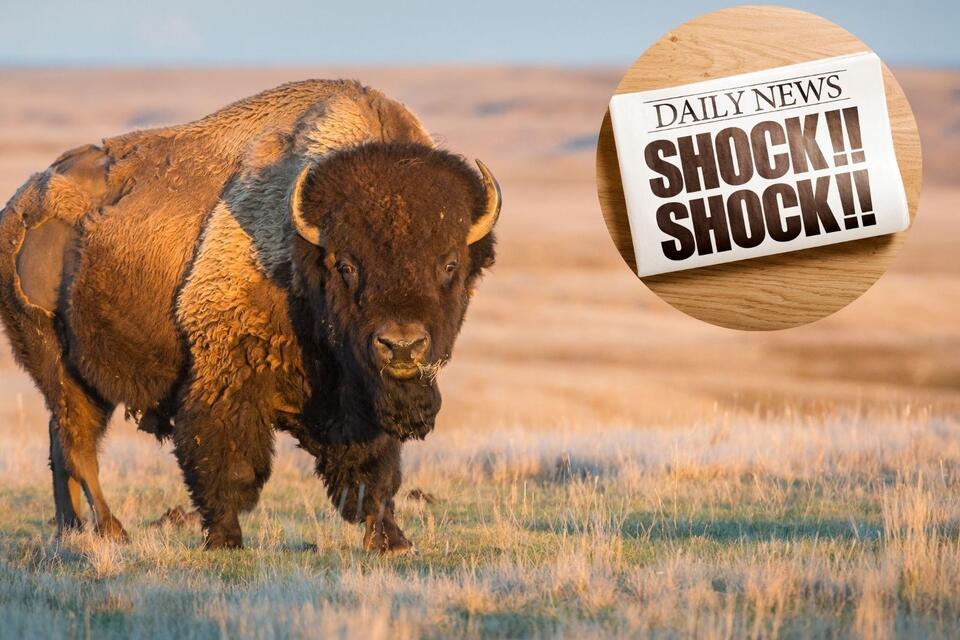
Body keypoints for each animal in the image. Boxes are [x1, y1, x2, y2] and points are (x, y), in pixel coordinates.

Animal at [0, 80, 500, 551]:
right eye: (346, 265)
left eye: (450, 264)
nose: (401, 345)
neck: (302, 253)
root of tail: (19, 206)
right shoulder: (227, 375)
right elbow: (229, 461)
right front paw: (224, 539)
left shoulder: (362, 401)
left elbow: (374, 473)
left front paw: (393, 542)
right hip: (57, 364)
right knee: (78, 445)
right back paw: (111, 530)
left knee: (60, 443)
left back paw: (69, 529)